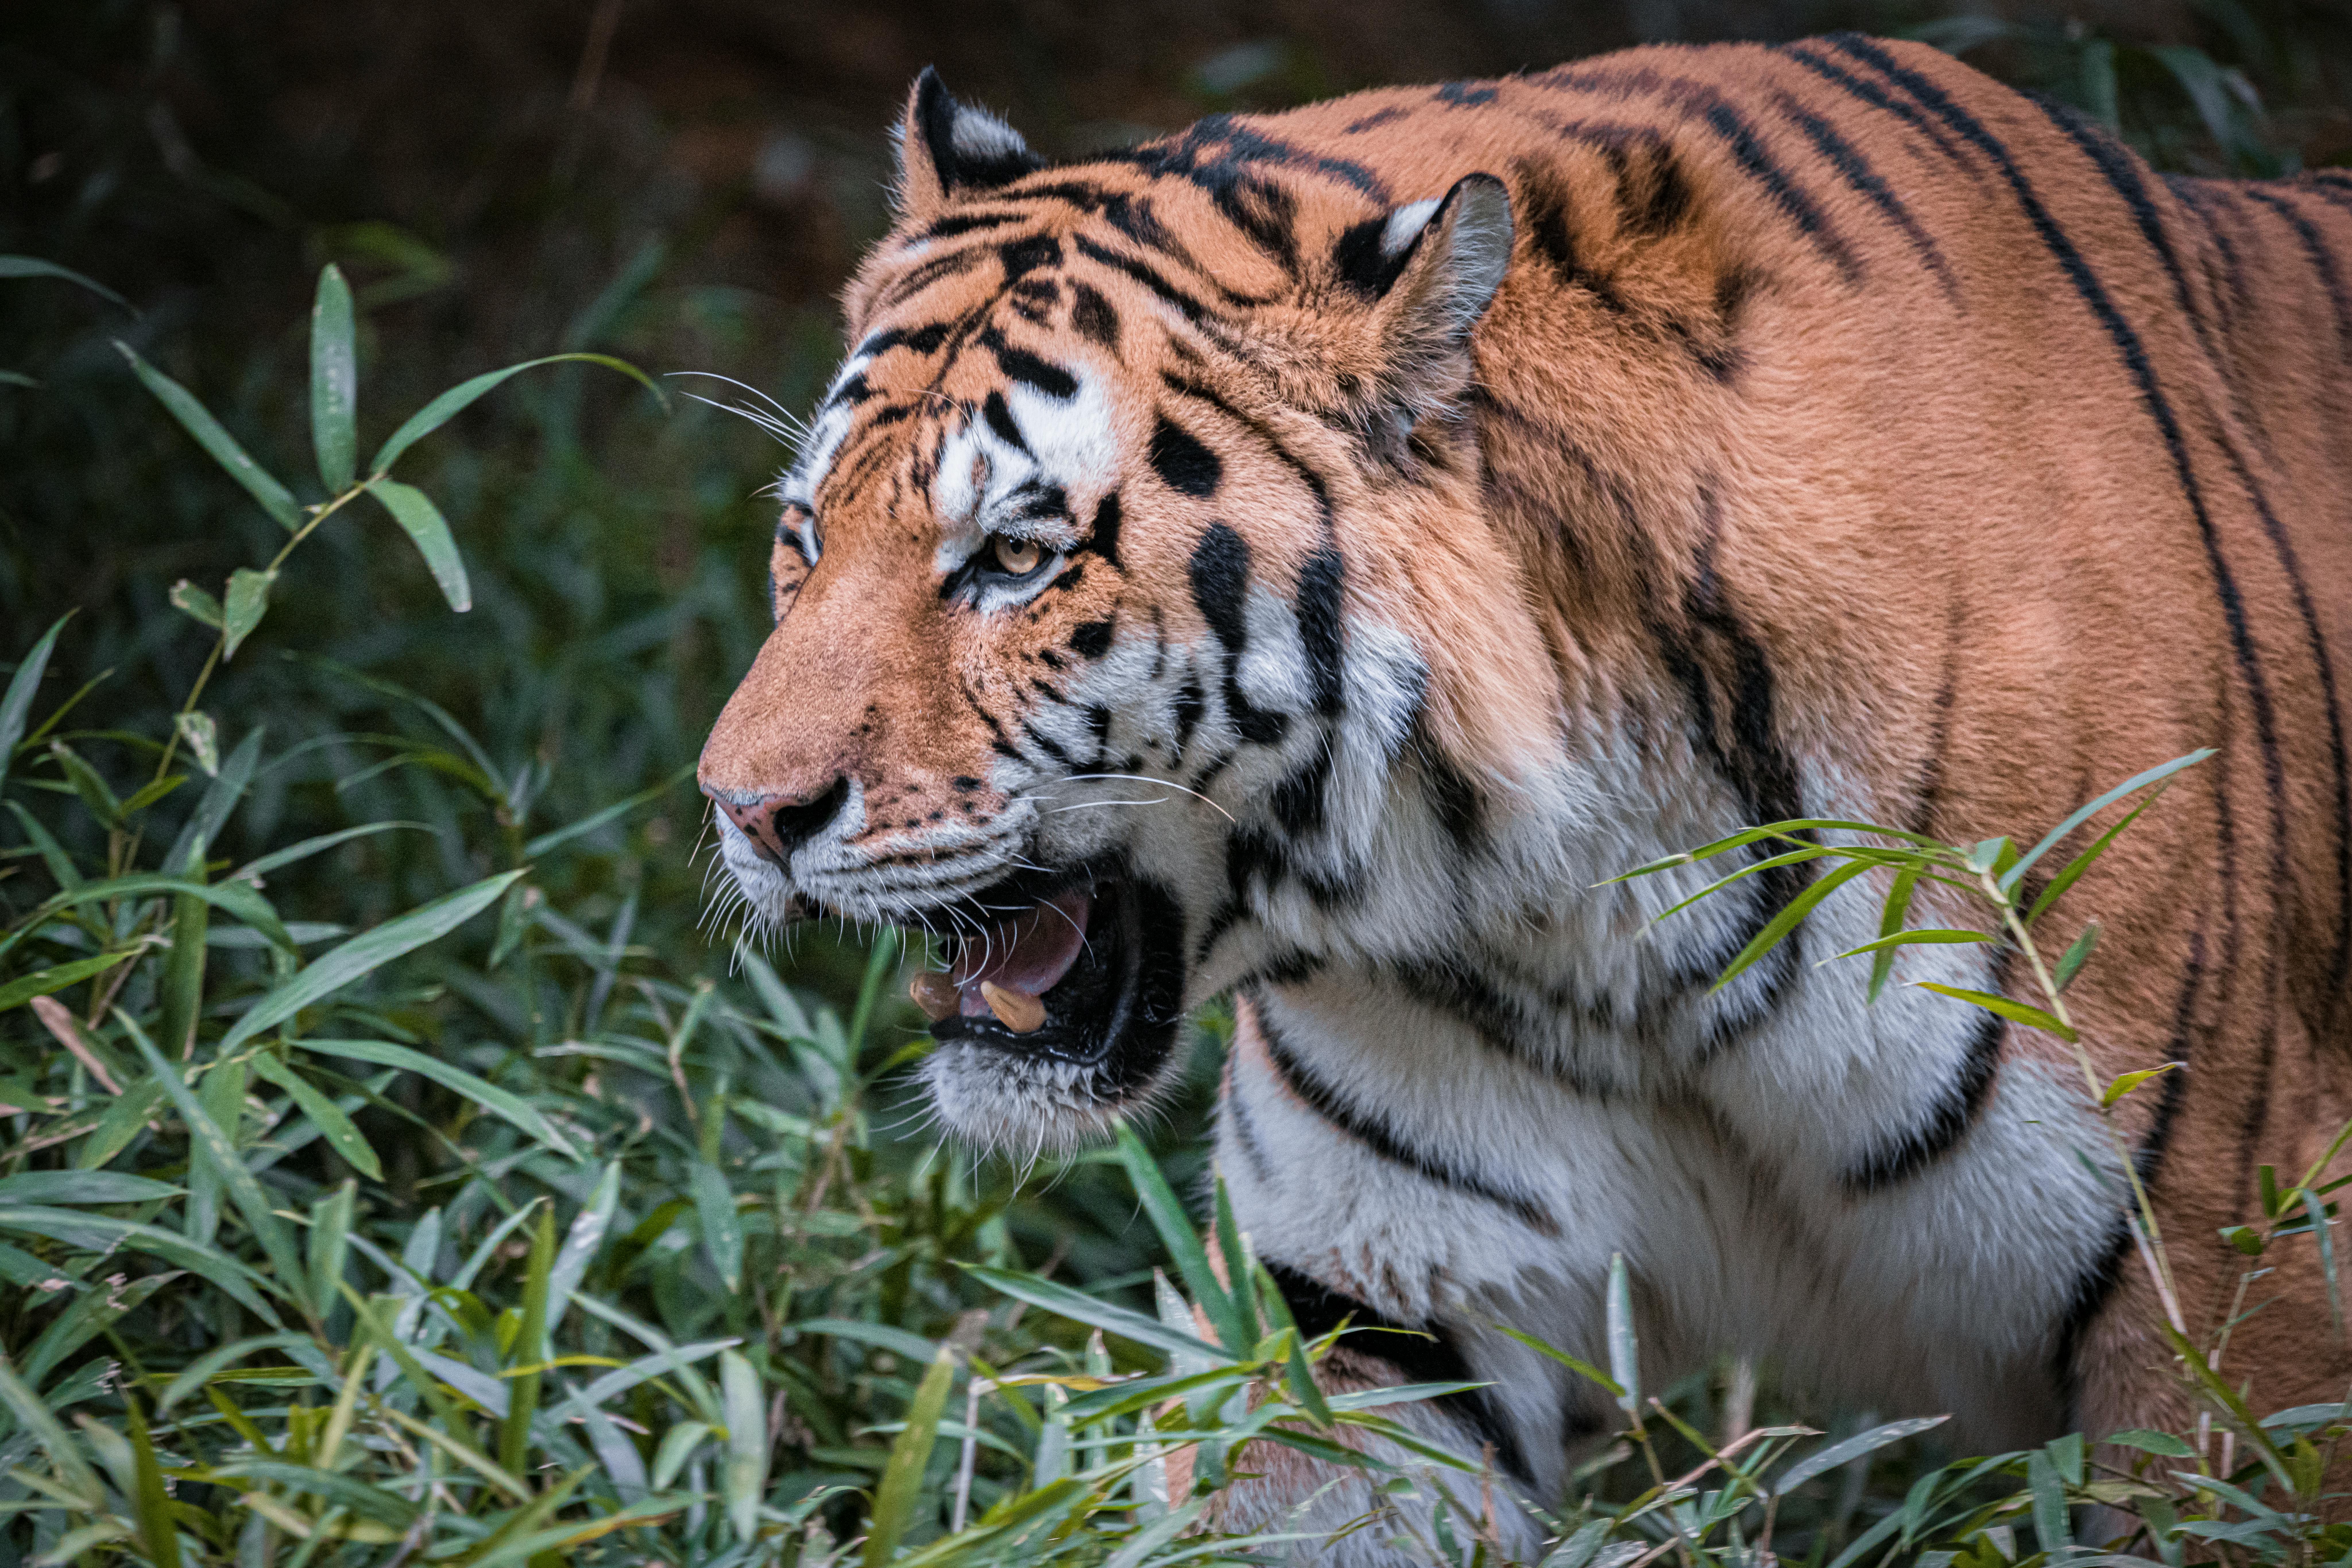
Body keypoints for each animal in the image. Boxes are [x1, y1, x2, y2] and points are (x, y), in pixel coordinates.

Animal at [696, 31, 2352, 1555]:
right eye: (807, 536)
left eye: (1017, 558)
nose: (742, 809)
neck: (1610, 910)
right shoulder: (1373, 1316)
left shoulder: (2224, 1315)